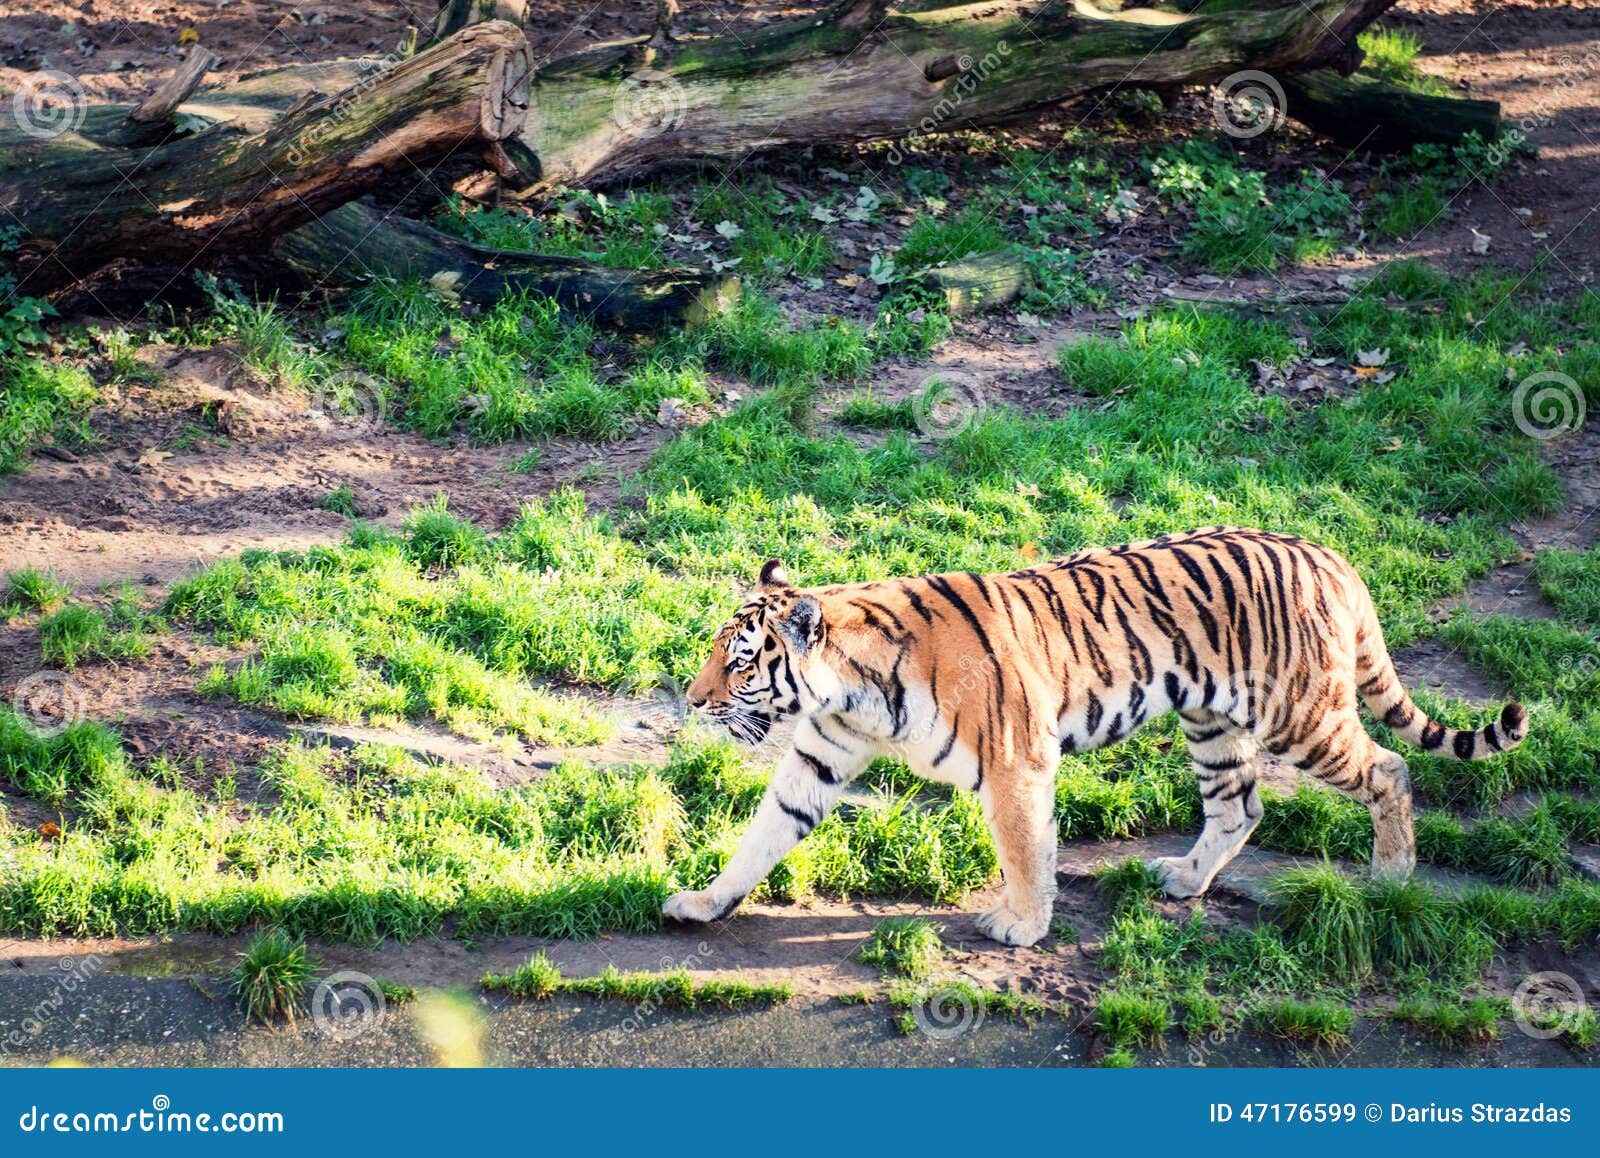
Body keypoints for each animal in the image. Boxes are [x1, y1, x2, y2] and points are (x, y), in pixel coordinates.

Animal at [662, 527, 1528, 947]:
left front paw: (1021, 927)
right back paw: (1185, 879)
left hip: (1301, 715)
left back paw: (1391, 877)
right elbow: (764, 834)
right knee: (1240, 807)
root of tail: (1331, 556)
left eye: (740, 661)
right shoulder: (820, 754)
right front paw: (704, 903)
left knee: (1389, 768)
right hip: (1212, 722)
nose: (693, 698)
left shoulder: (1015, 763)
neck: (853, 689)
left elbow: (1024, 850)